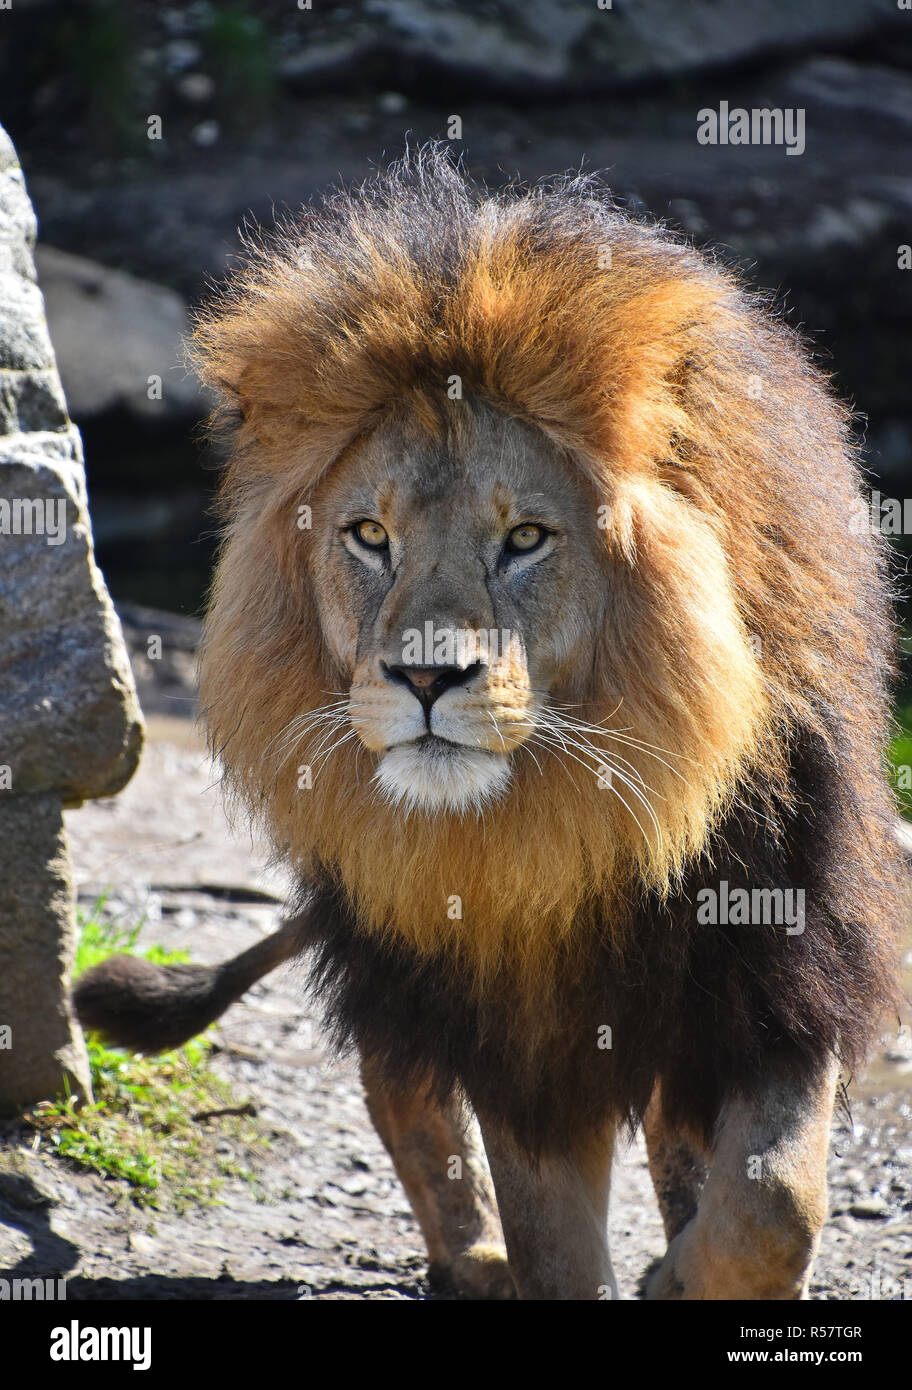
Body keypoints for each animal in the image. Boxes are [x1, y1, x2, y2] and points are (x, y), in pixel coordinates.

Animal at [75, 146, 903, 1300]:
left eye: (525, 540)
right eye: (368, 536)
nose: (427, 675)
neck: (582, 825)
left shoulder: (777, 970)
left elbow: (772, 1203)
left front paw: (679, 1271)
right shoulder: (517, 1045)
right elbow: (560, 1246)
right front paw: (586, 1265)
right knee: (397, 1080)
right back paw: (474, 1255)